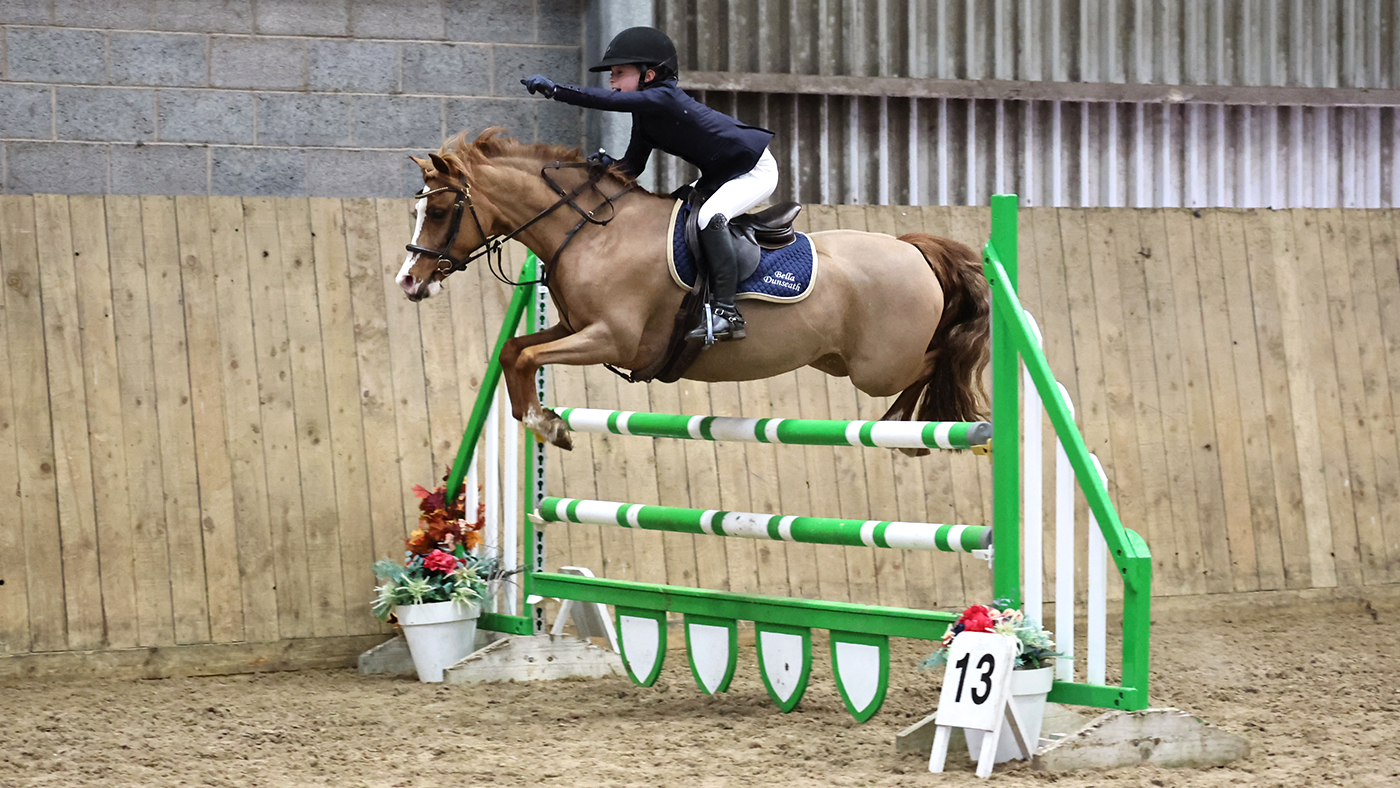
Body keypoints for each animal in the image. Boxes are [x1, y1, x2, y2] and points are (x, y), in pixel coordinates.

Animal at [397, 129, 990, 454]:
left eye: (442, 210)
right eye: (419, 210)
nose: (408, 281)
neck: (594, 232)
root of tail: (912, 248)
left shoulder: (612, 338)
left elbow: (526, 356)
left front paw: (548, 425)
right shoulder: (574, 327)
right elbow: (515, 351)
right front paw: (543, 423)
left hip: (877, 366)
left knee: (943, 357)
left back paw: (923, 422)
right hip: (840, 360)